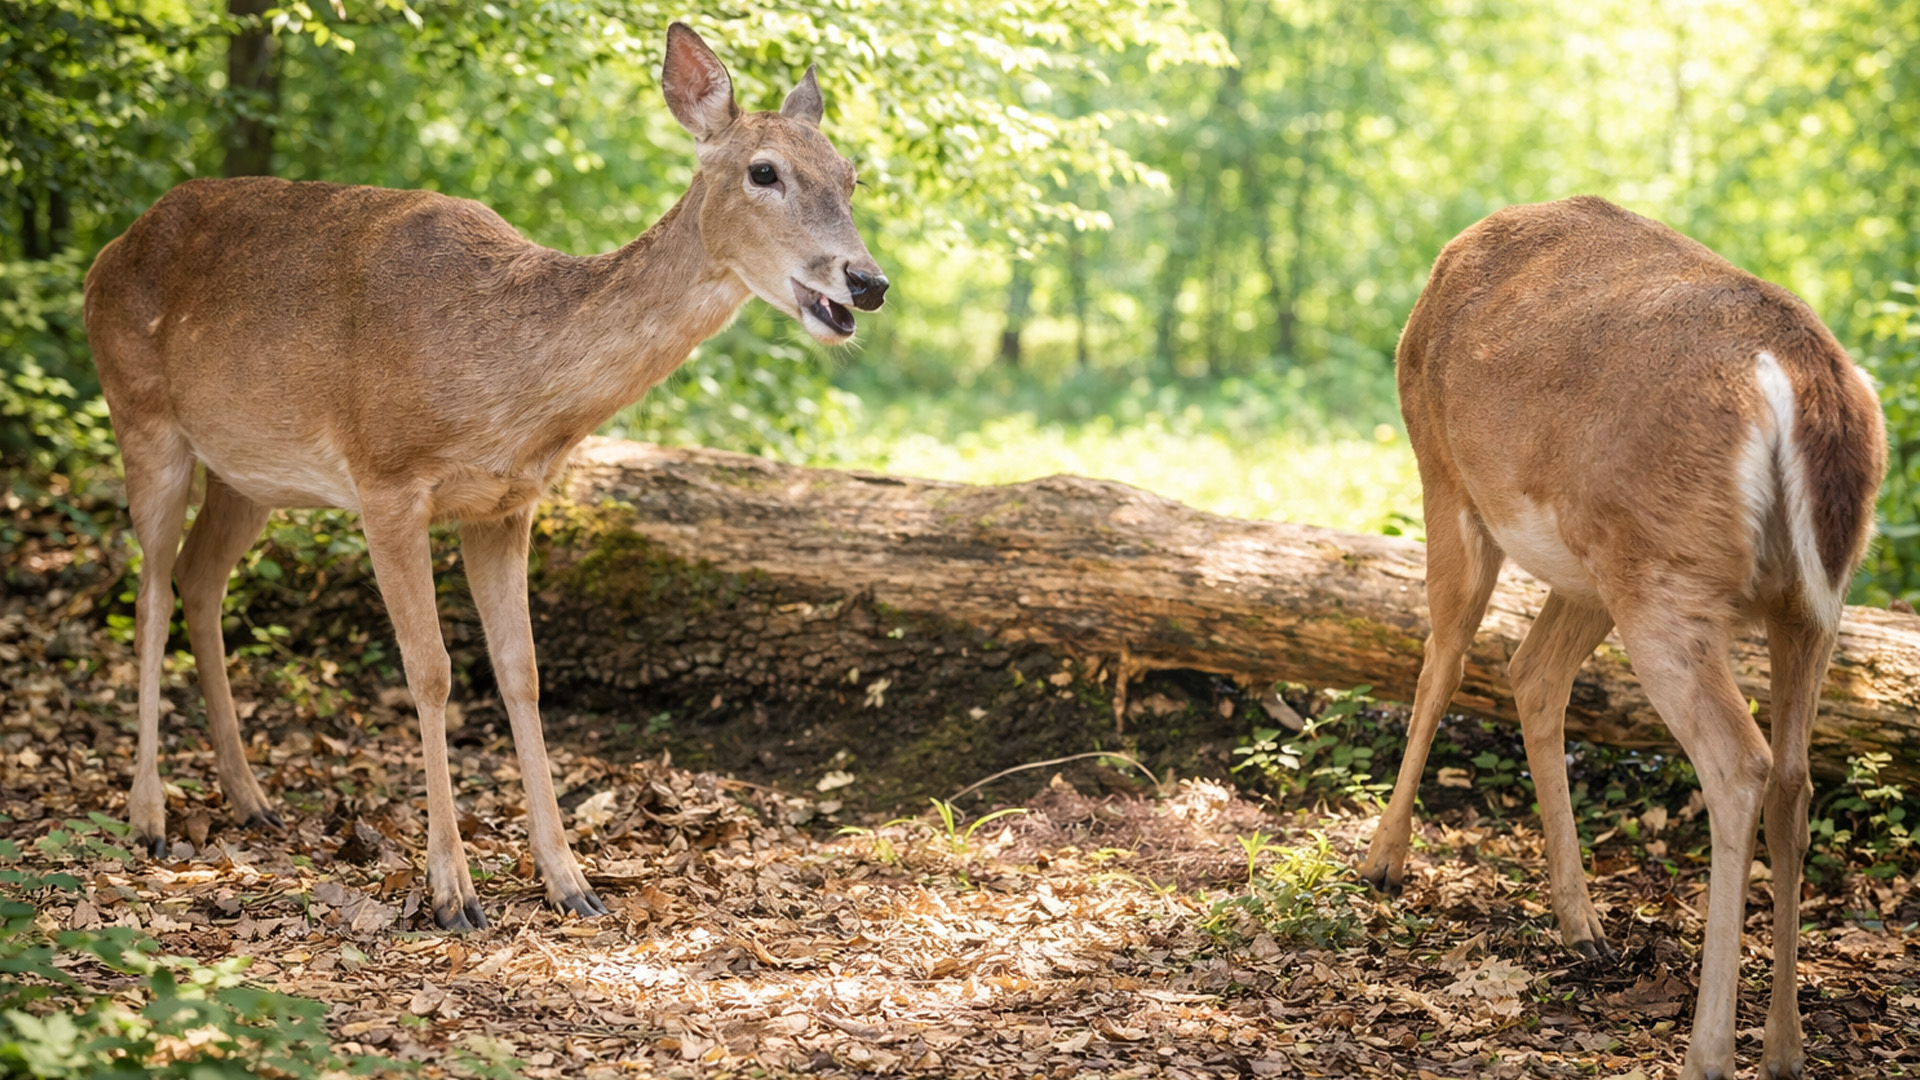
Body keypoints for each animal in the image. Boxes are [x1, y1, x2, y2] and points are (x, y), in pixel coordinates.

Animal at [81, 23, 887, 932]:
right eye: (764, 172)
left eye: (851, 175)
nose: (867, 281)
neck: (503, 377)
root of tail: (109, 250)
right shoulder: (386, 478)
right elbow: (430, 670)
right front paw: (452, 890)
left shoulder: (505, 503)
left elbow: (521, 670)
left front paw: (570, 880)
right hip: (141, 414)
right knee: (148, 589)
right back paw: (148, 815)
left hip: (250, 474)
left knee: (199, 578)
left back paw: (251, 799)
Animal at [1356, 196, 1884, 1079]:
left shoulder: (1443, 471)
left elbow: (1439, 664)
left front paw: (1383, 862)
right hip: (1792, 604)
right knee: (1785, 775)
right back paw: (1769, 1041)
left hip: (1655, 572)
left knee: (1736, 762)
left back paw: (1706, 1050)